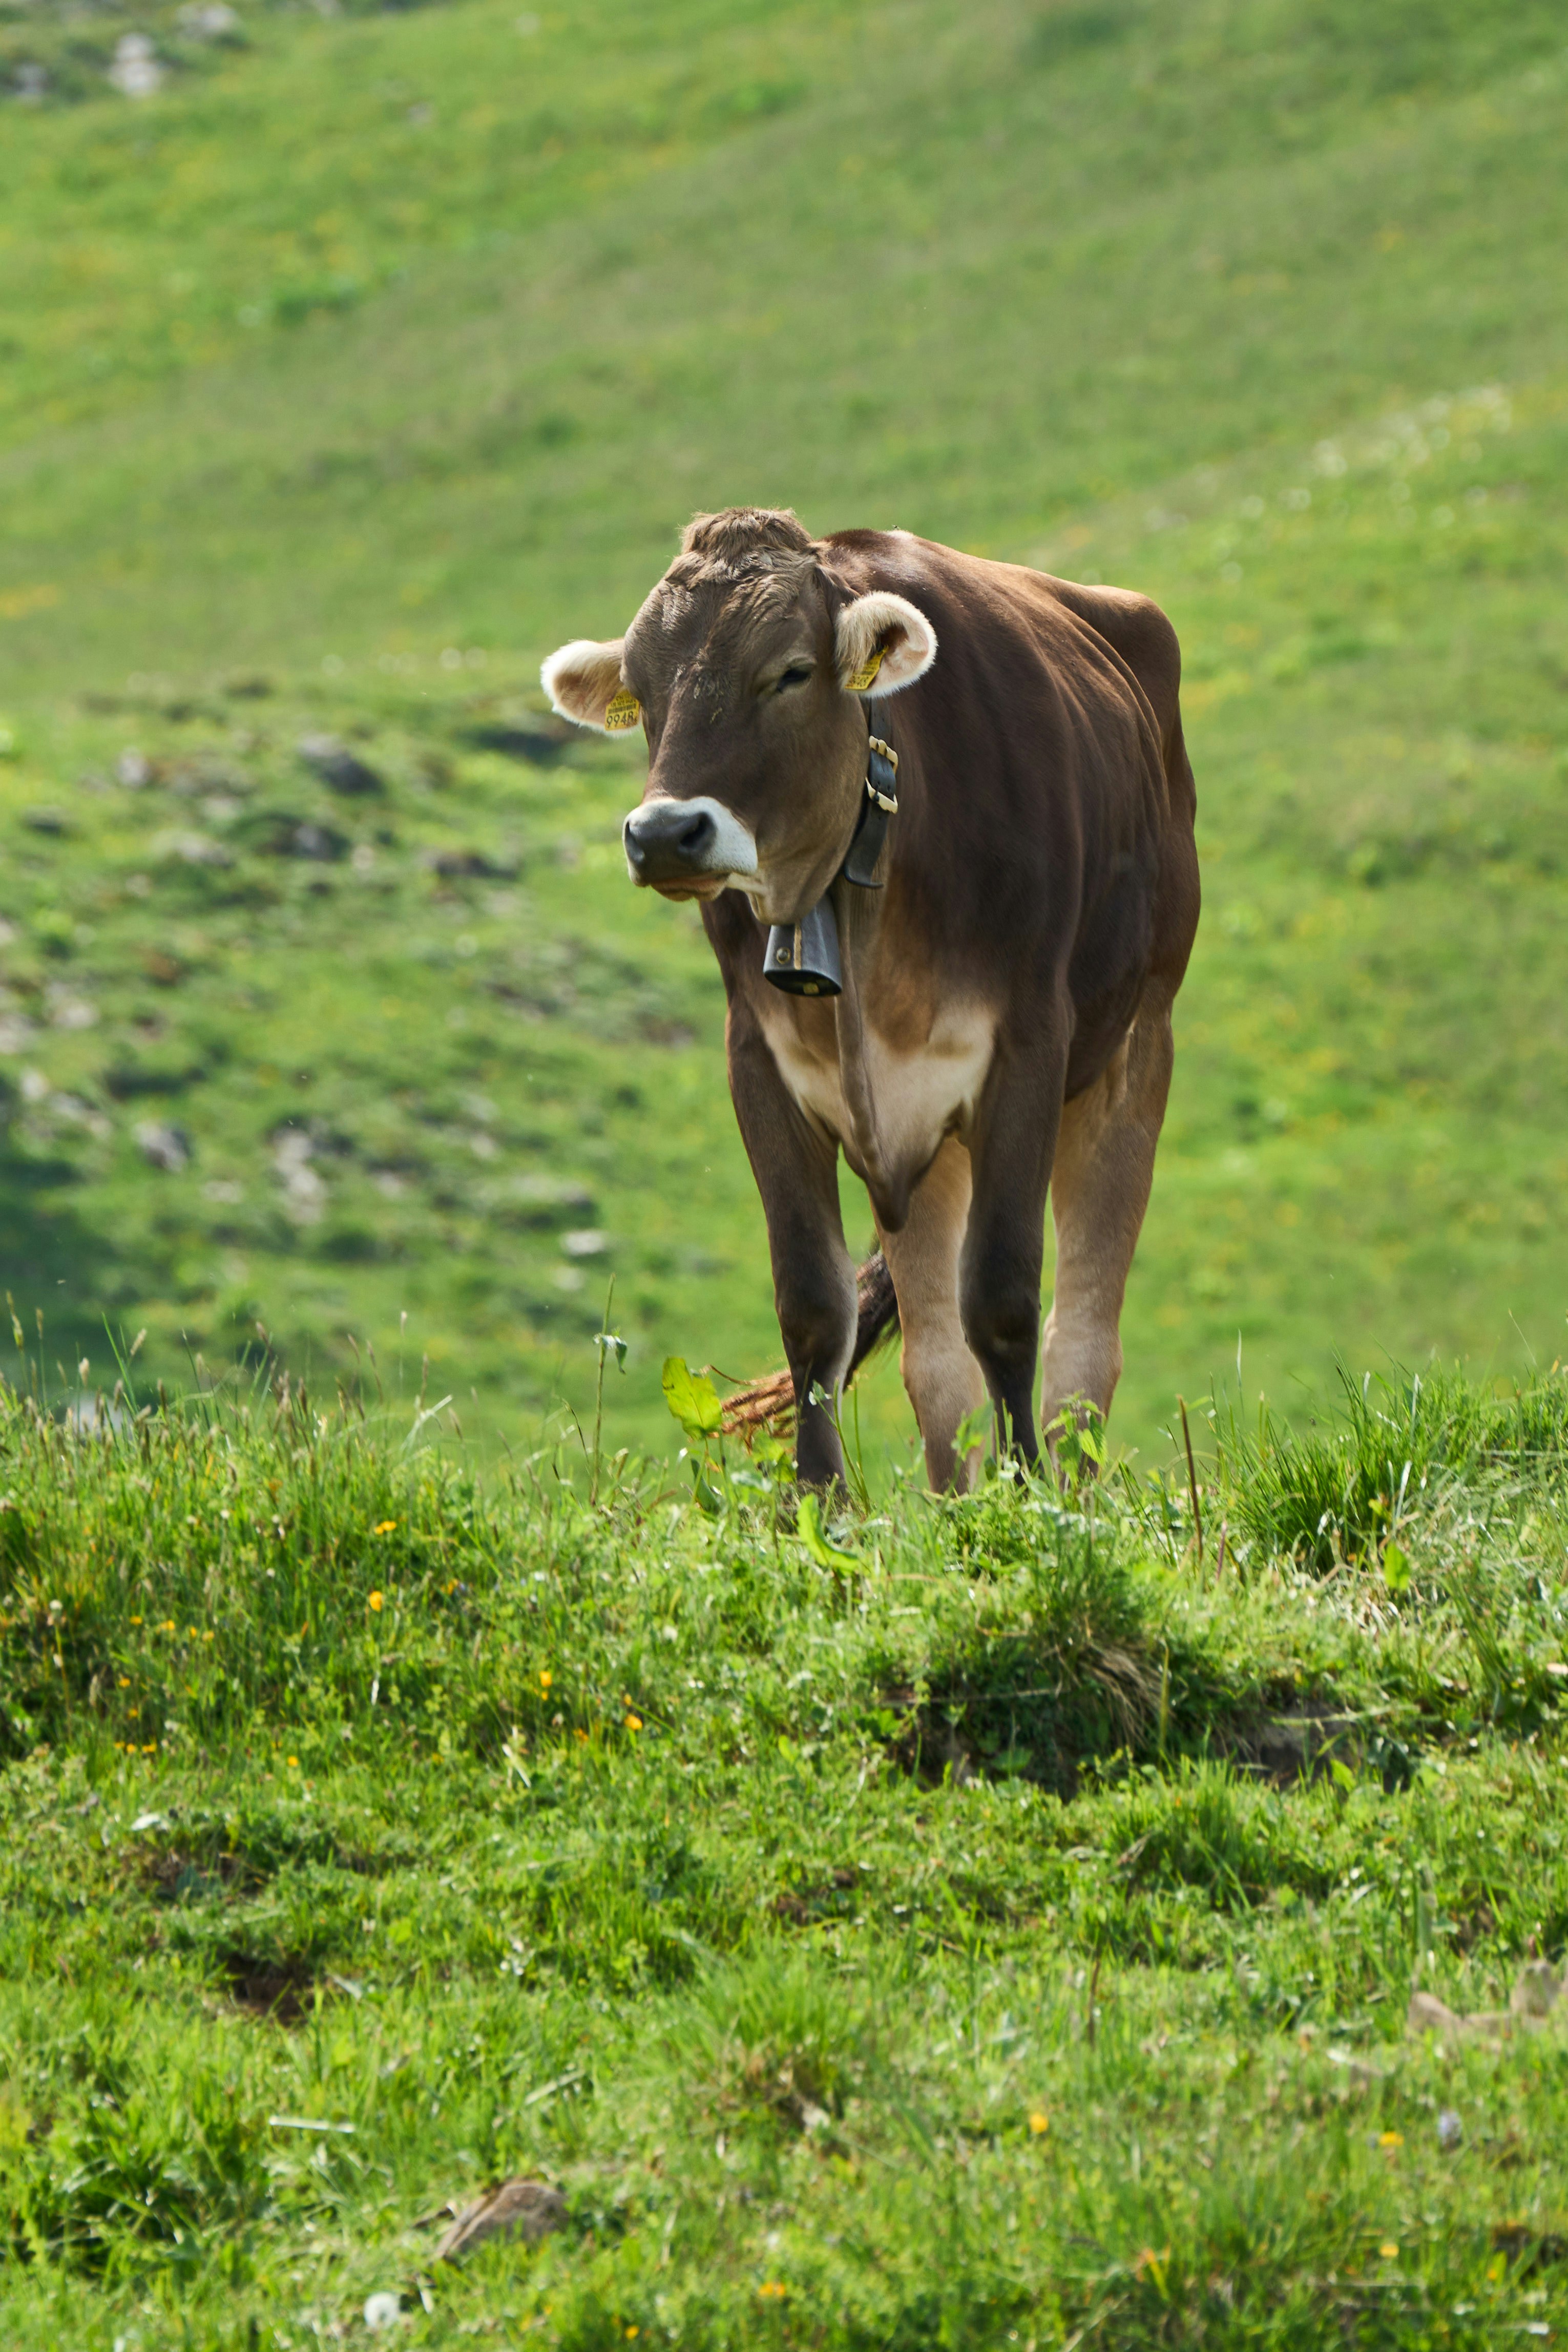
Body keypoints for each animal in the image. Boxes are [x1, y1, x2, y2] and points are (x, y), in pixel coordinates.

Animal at [543, 507, 1200, 1492]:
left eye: (790, 671)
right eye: (642, 688)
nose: (665, 833)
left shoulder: (1027, 1050)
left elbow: (1004, 1297)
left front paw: (1026, 1493)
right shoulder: (762, 1065)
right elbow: (815, 1307)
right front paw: (817, 1502)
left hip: (1136, 1041)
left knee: (1083, 1339)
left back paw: (1069, 1485)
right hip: (926, 1135)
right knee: (934, 1358)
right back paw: (956, 1498)